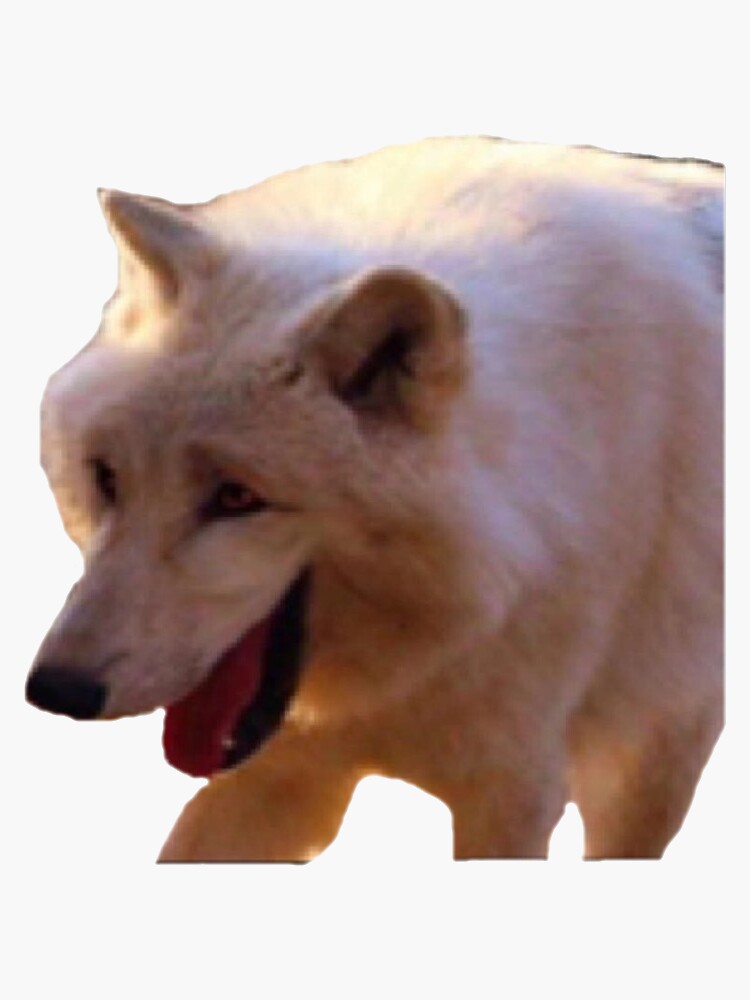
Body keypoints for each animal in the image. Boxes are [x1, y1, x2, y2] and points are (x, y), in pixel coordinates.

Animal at [26, 137, 723, 861]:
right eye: (107, 478)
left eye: (237, 497)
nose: (58, 689)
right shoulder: (280, 771)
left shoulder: (515, 789)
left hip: (653, 760)